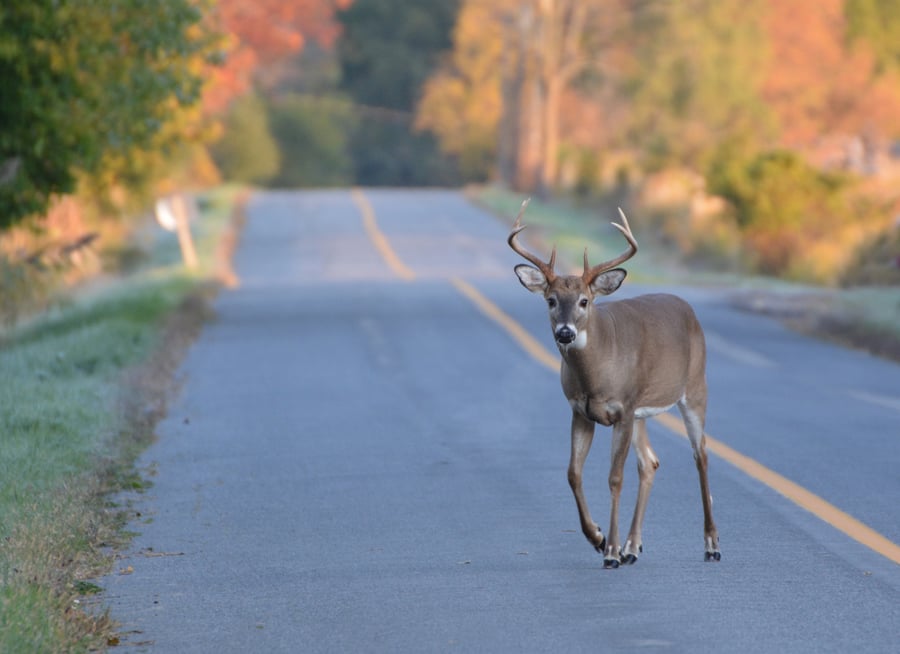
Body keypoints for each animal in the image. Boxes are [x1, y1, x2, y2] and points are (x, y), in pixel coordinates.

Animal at [508, 200, 720, 567]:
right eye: (550, 300)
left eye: (584, 300)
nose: (565, 332)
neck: (596, 375)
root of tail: (687, 308)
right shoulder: (582, 411)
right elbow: (573, 473)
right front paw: (598, 538)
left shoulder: (622, 407)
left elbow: (615, 477)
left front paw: (610, 551)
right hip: (642, 413)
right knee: (650, 462)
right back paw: (633, 547)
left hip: (694, 389)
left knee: (701, 455)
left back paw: (711, 545)